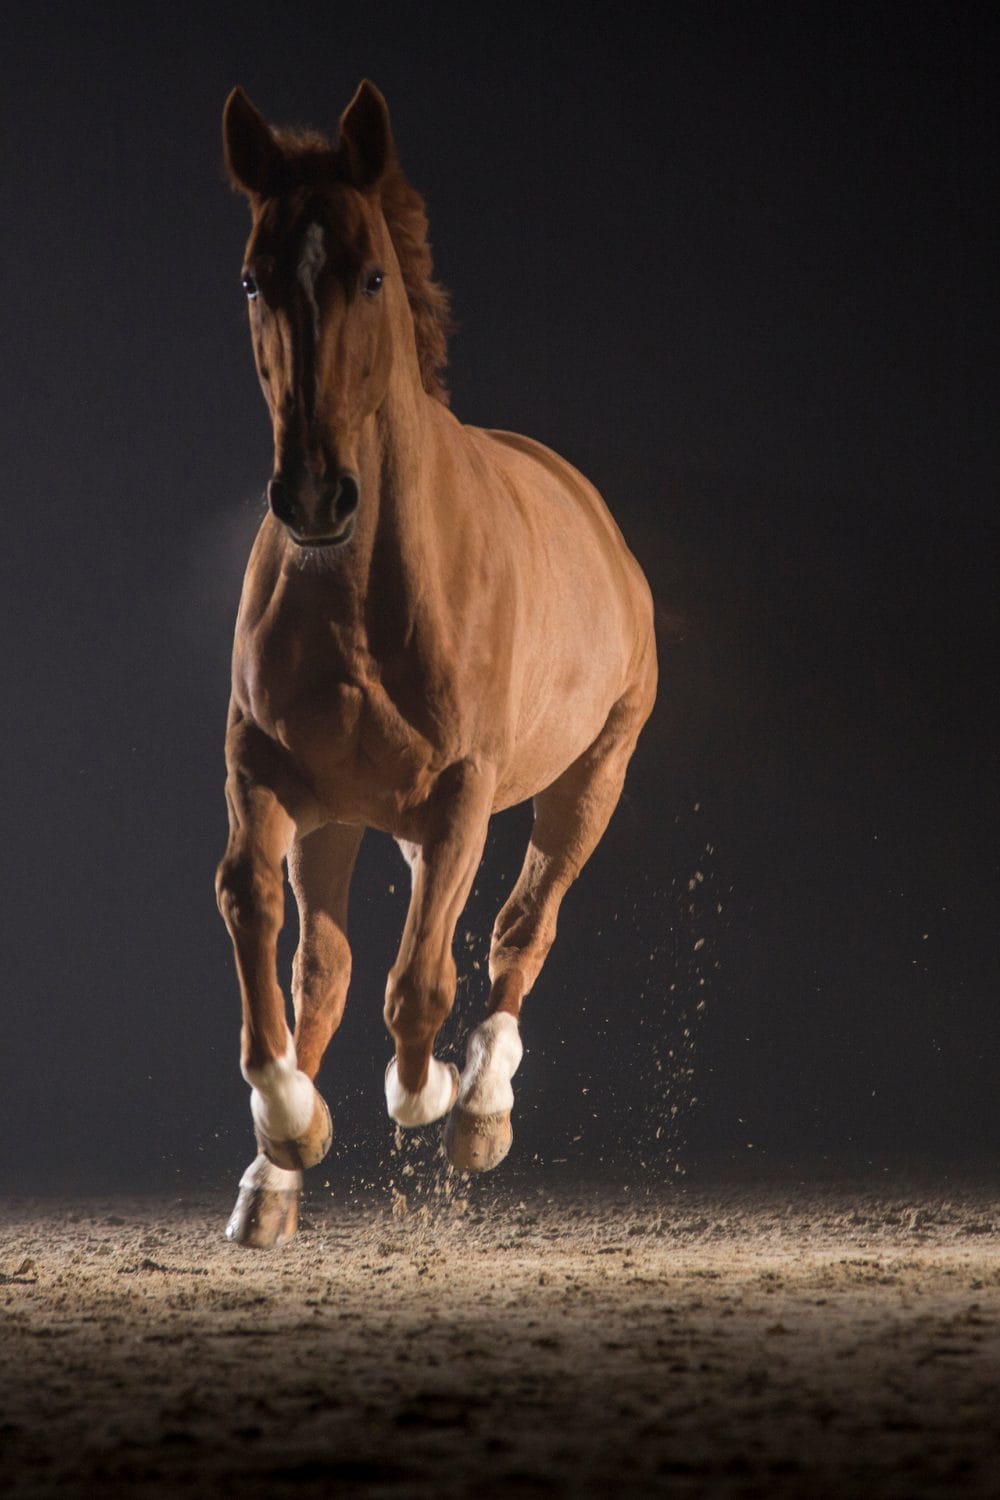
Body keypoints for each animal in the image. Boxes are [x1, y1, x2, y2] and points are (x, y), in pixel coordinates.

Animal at [216, 81, 658, 1247]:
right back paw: (276, 1176)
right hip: (346, 818)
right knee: (327, 969)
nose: (313, 496)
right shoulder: (271, 776)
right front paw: (288, 1125)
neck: (360, 592)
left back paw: (481, 1106)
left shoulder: (463, 793)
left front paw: (432, 1097)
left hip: (588, 782)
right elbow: (257, 911)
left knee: (517, 935)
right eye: (253, 277)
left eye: (371, 273)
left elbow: (423, 983)